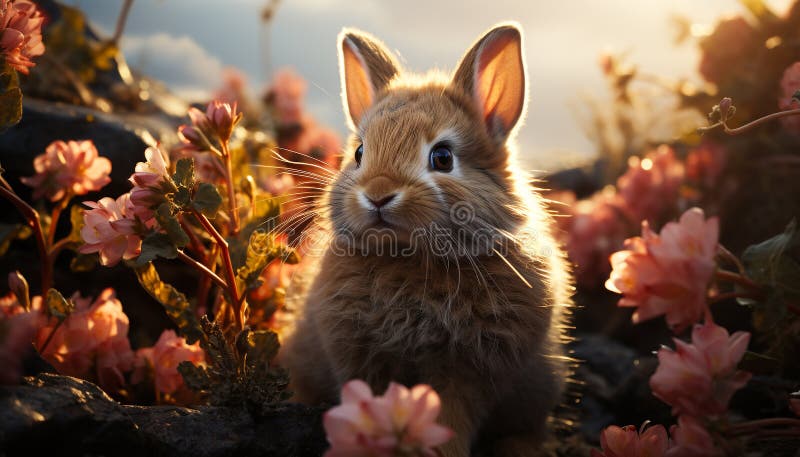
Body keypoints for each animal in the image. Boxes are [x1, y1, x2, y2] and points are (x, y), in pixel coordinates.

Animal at [281, 22, 573, 457]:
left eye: (442, 158)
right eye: (360, 153)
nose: (378, 194)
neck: (410, 258)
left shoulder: (470, 368)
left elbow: (450, 415)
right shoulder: (362, 356)